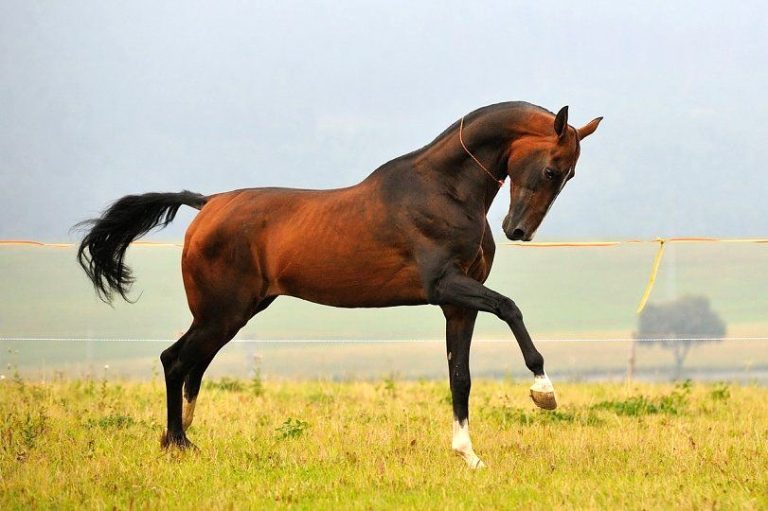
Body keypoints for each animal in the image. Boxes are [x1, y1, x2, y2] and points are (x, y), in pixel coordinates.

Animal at [76, 101, 602, 468]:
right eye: (551, 168)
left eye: (570, 175)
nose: (518, 230)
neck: (443, 191)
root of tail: (207, 203)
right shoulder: (446, 288)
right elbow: (511, 308)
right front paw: (544, 393)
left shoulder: (459, 305)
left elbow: (461, 377)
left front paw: (468, 455)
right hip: (222, 312)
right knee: (176, 360)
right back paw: (178, 443)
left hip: (234, 313)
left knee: (191, 365)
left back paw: (181, 436)